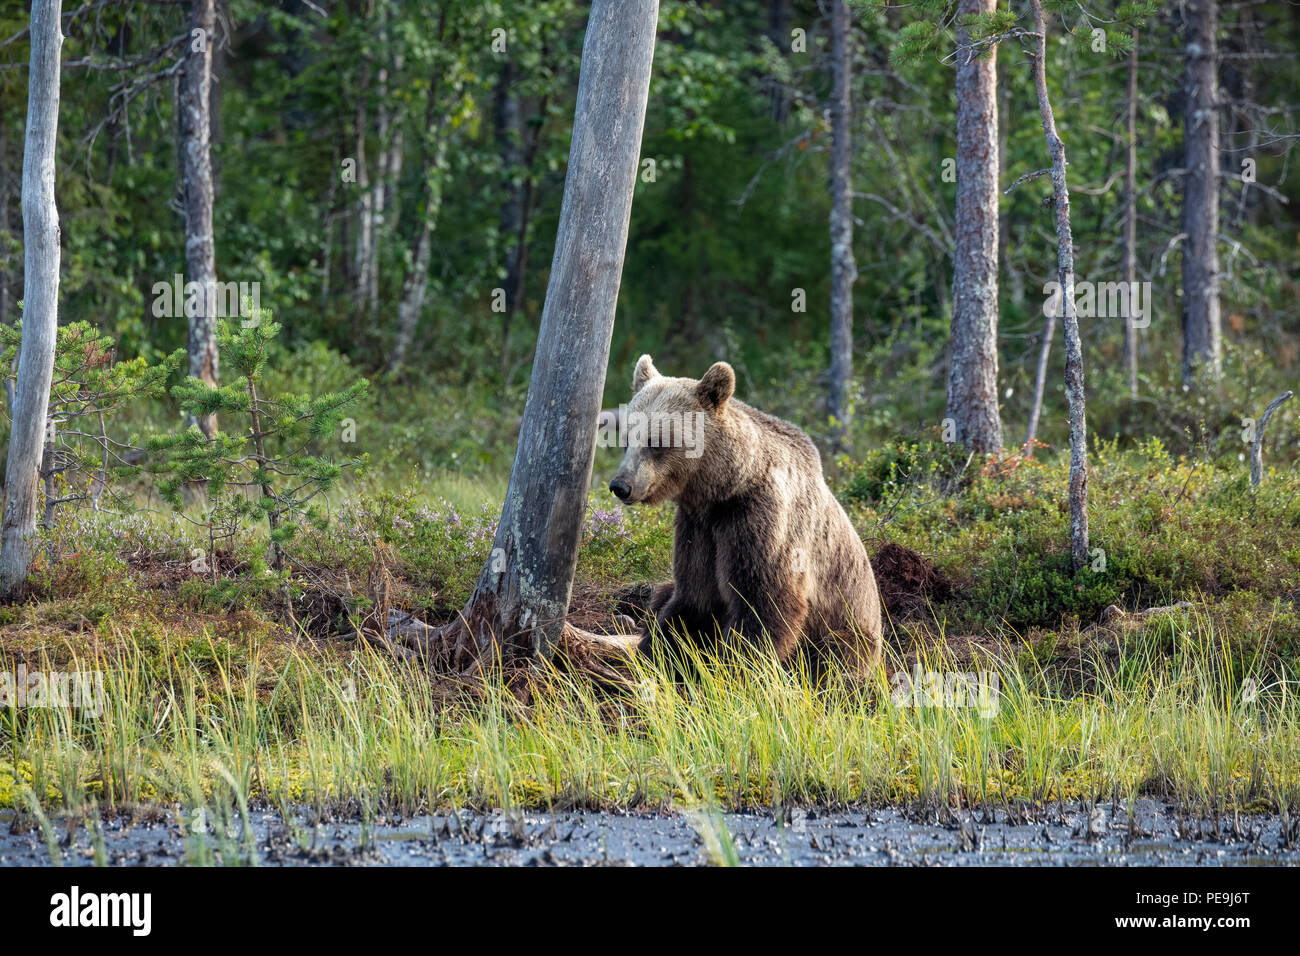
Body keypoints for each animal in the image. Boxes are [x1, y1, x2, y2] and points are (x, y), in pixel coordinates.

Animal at [608, 354, 882, 675]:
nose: (621, 486)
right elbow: (693, 596)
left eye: (657, 442)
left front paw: (735, 669)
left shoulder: (757, 520)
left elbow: (764, 603)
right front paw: (656, 655)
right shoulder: (698, 528)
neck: (724, 488)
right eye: (626, 439)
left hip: (851, 629)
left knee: (836, 654)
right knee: (663, 591)